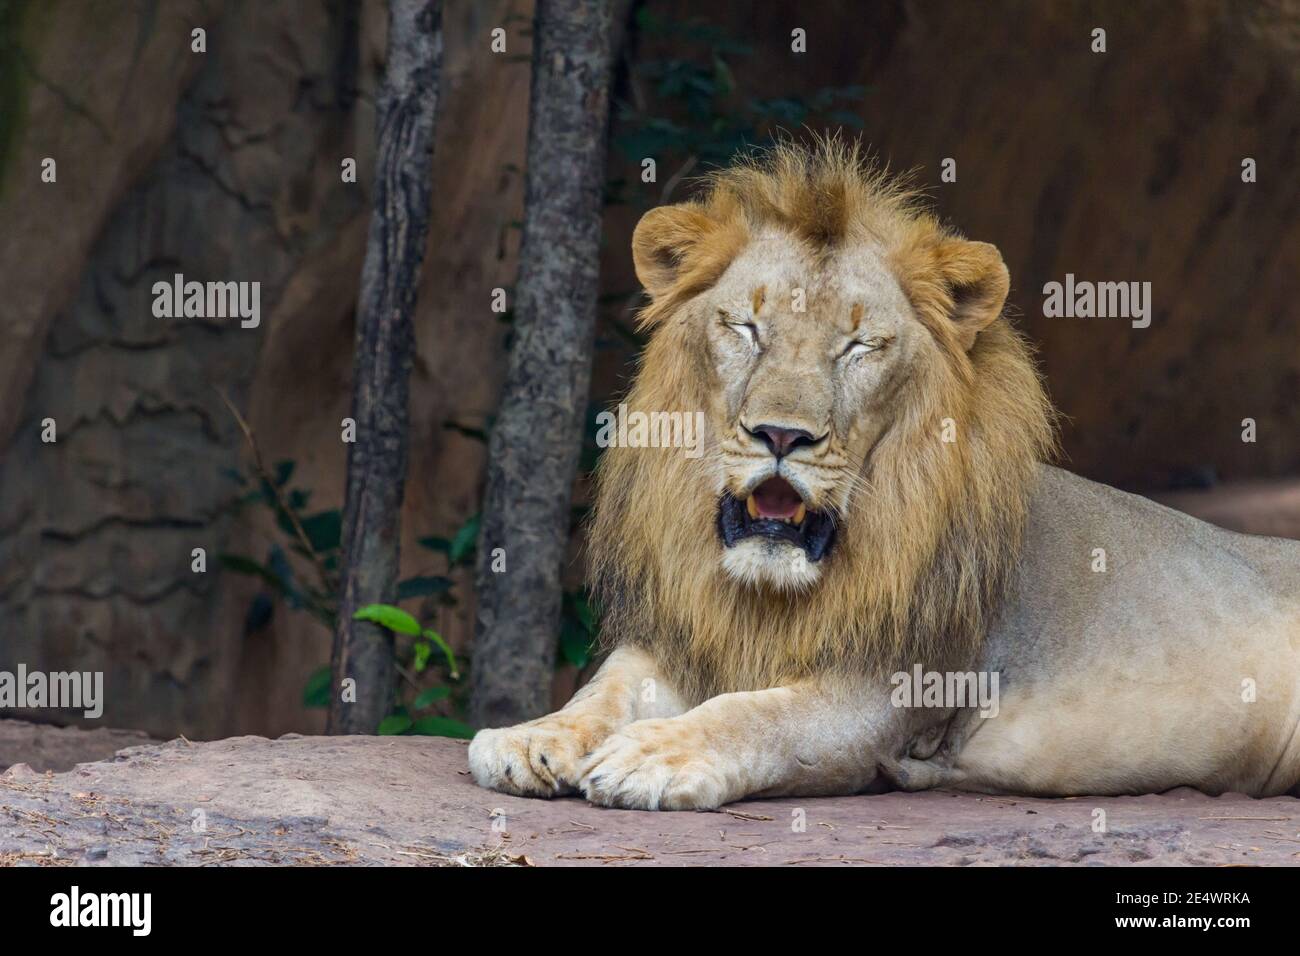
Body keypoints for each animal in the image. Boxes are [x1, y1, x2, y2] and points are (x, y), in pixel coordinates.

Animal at [468, 139, 1300, 809]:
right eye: (746, 327)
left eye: (859, 346)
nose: (781, 434)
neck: (769, 591)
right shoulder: (686, 631)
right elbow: (604, 690)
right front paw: (530, 738)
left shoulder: (887, 686)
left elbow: (754, 713)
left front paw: (653, 755)